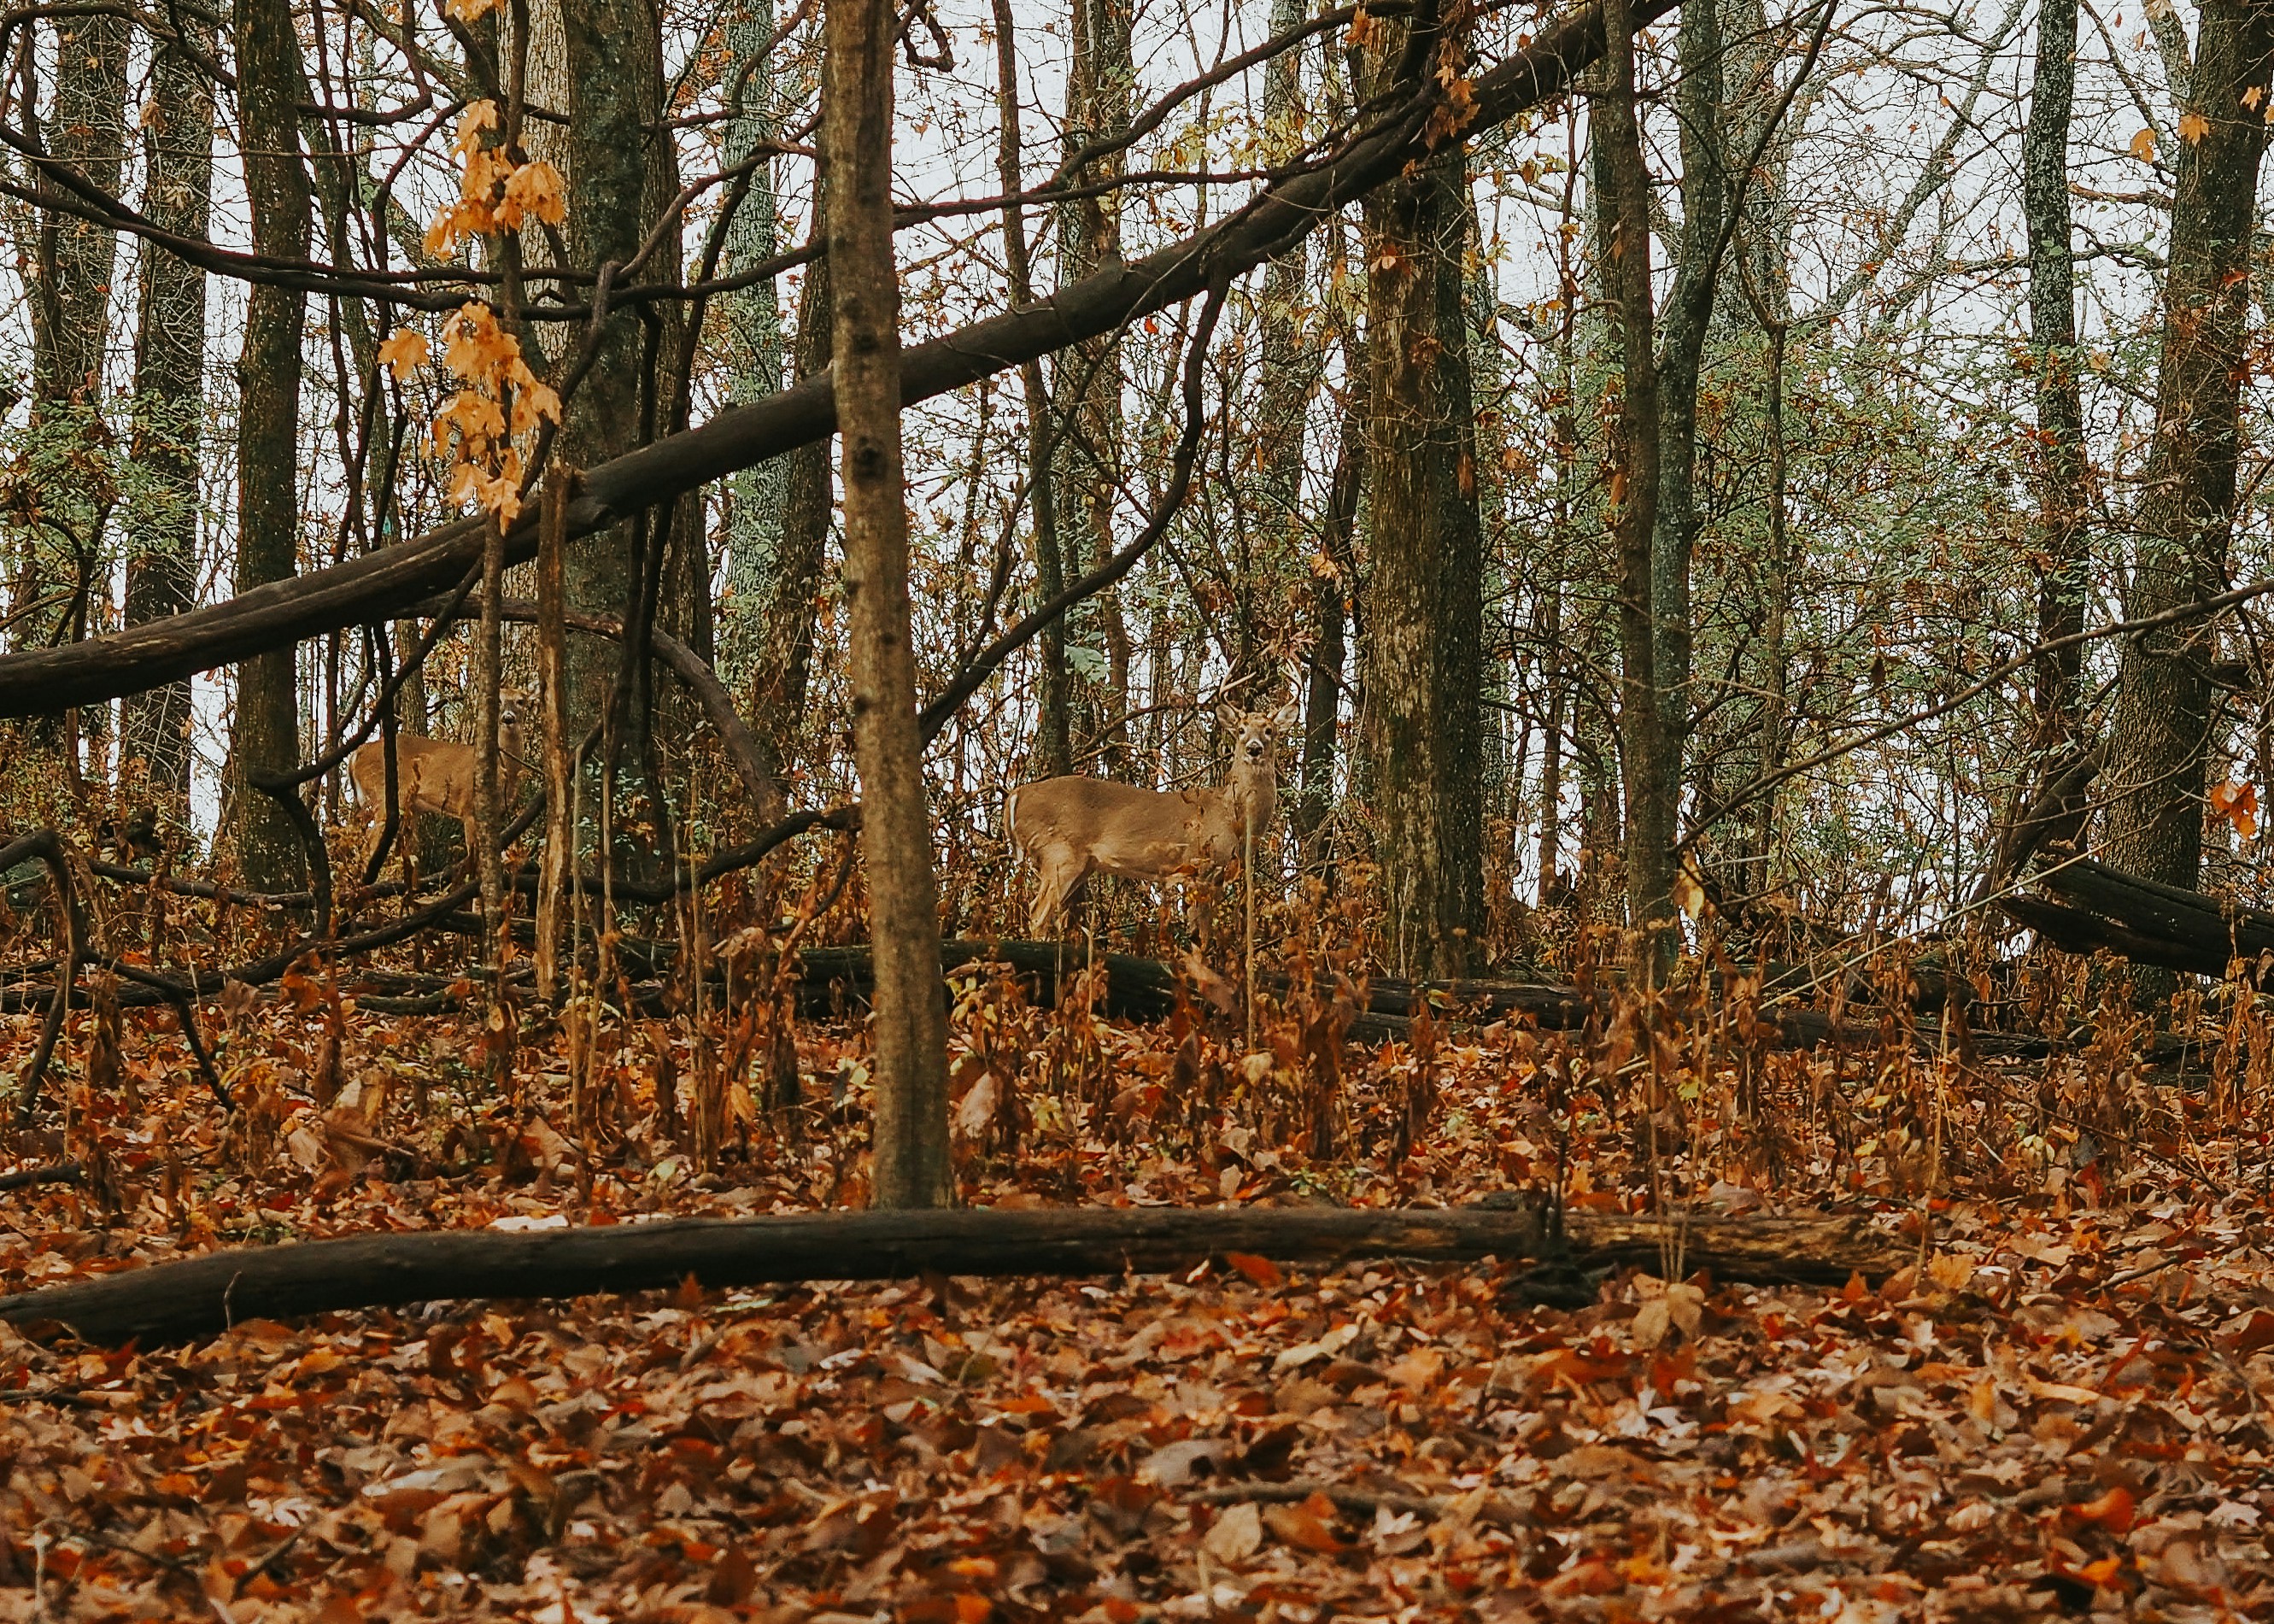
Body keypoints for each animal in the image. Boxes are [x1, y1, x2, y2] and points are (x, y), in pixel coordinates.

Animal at [346, 693, 531, 879]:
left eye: (520, 701)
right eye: (499, 700)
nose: (508, 717)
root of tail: (356, 754)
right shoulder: (468, 806)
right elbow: (473, 854)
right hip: (383, 792)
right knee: (370, 840)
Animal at [1007, 698, 1298, 937]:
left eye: (1269, 730)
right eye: (1240, 730)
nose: (1254, 748)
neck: (1233, 816)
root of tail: (1016, 795)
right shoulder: (1201, 864)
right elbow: (1201, 934)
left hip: (1081, 863)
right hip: (1059, 852)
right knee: (1037, 912)